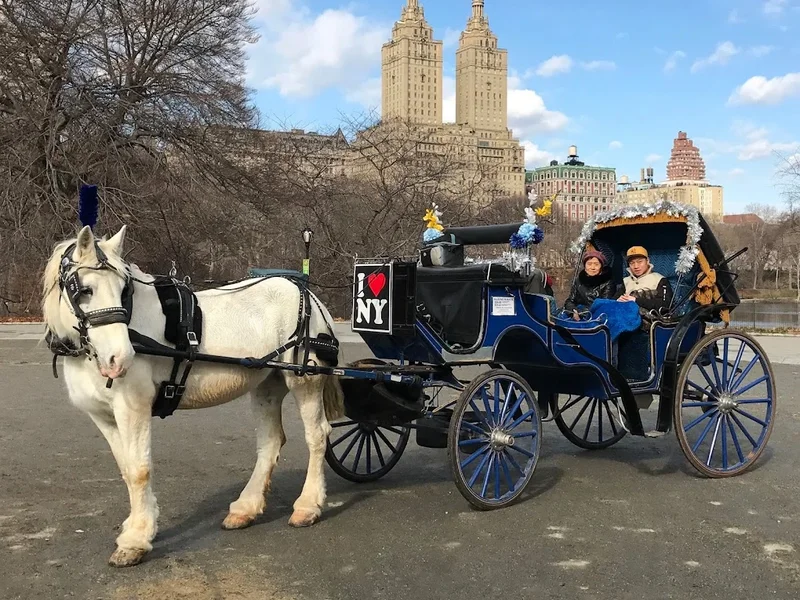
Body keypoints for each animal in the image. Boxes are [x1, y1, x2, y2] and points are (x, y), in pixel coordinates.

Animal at [41, 225, 344, 567]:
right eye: (85, 290)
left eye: (122, 290)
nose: (119, 358)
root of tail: (308, 295)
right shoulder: (103, 417)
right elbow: (126, 469)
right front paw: (139, 524)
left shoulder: (133, 408)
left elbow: (140, 469)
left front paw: (136, 540)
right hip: (267, 383)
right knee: (270, 442)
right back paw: (246, 508)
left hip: (304, 380)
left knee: (317, 436)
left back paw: (308, 505)